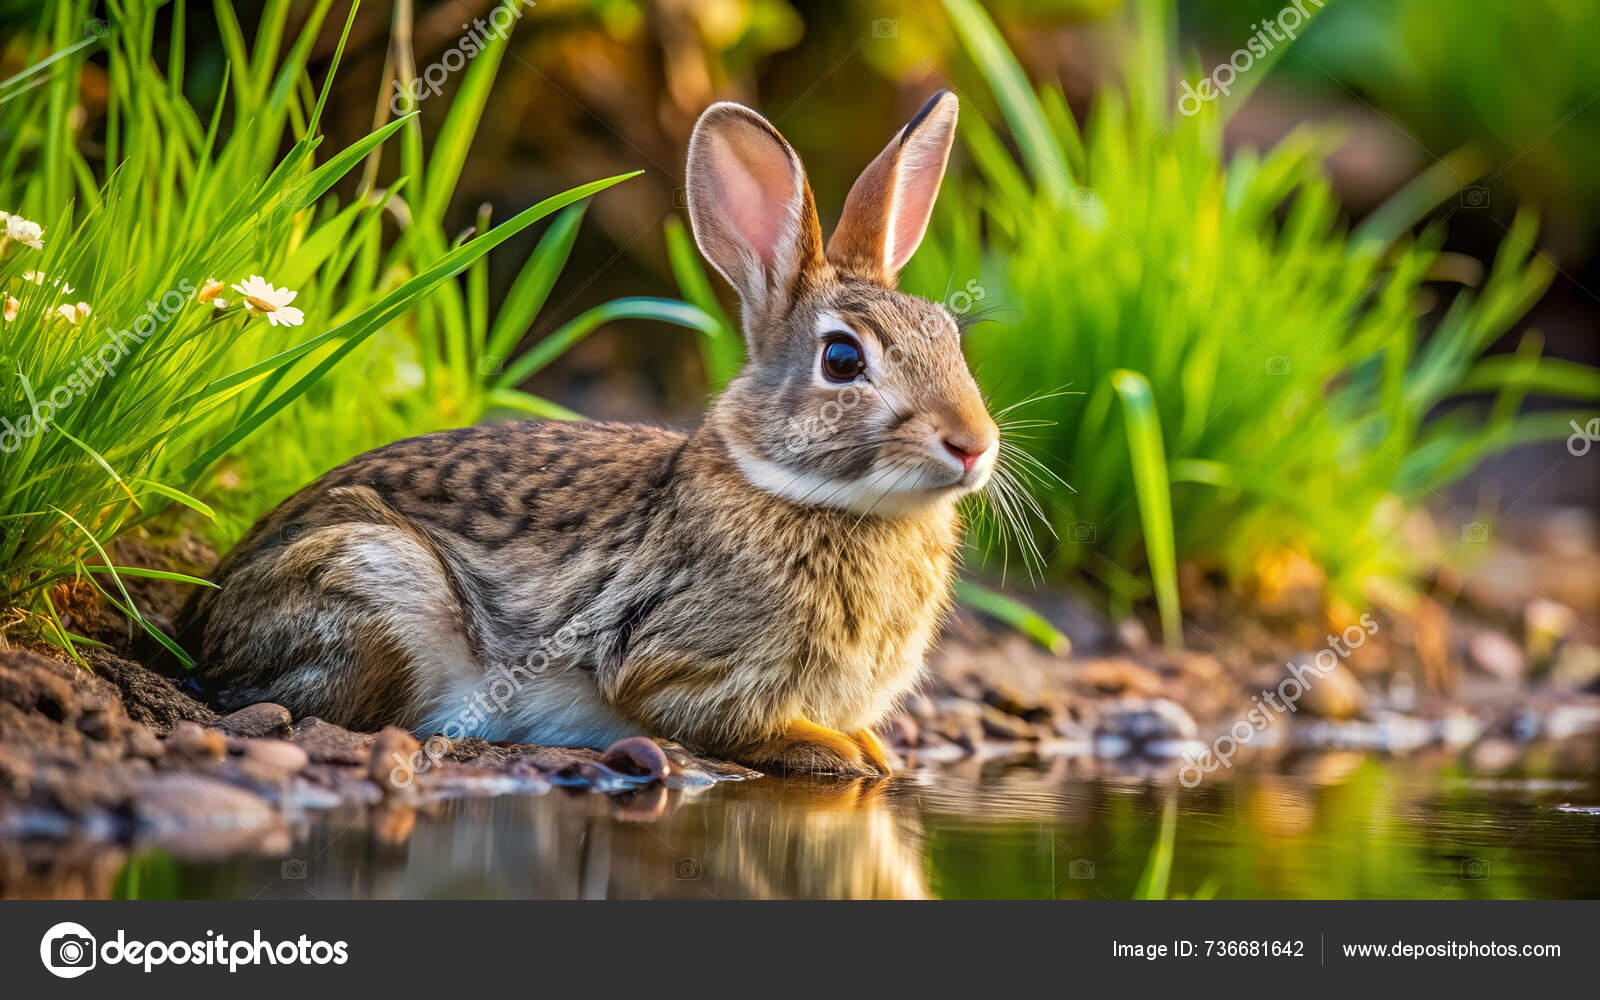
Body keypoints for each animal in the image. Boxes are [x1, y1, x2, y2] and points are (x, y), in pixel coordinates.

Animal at [180, 91, 998, 777]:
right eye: (842, 360)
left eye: (952, 340)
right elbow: (721, 720)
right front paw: (838, 750)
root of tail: (206, 621)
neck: (805, 493)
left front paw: (870, 748)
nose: (973, 444)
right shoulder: (672, 662)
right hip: (376, 578)